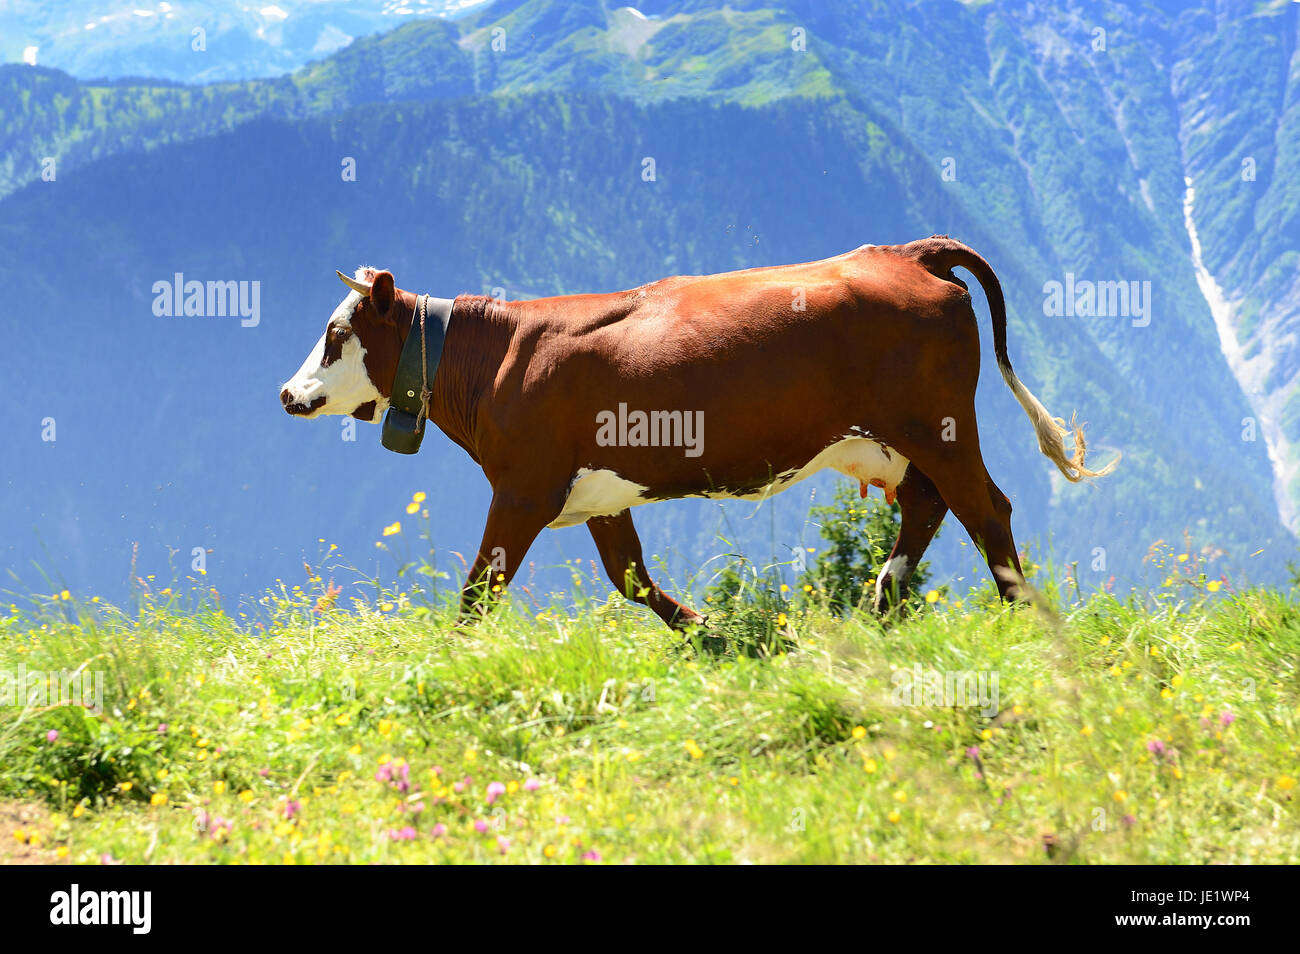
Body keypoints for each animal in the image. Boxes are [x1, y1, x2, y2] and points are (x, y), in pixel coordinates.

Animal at [280, 237, 1116, 632]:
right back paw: (881, 604)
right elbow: (630, 577)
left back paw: (1020, 615)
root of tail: (904, 252)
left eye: (336, 333)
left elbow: (479, 590)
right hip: (890, 437)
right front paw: (706, 628)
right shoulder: (596, 491)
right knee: (926, 505)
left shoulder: (523, 488)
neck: (499, 361)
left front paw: (449, 657)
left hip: (938, 425)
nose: (288, 394)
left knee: (985, 507)